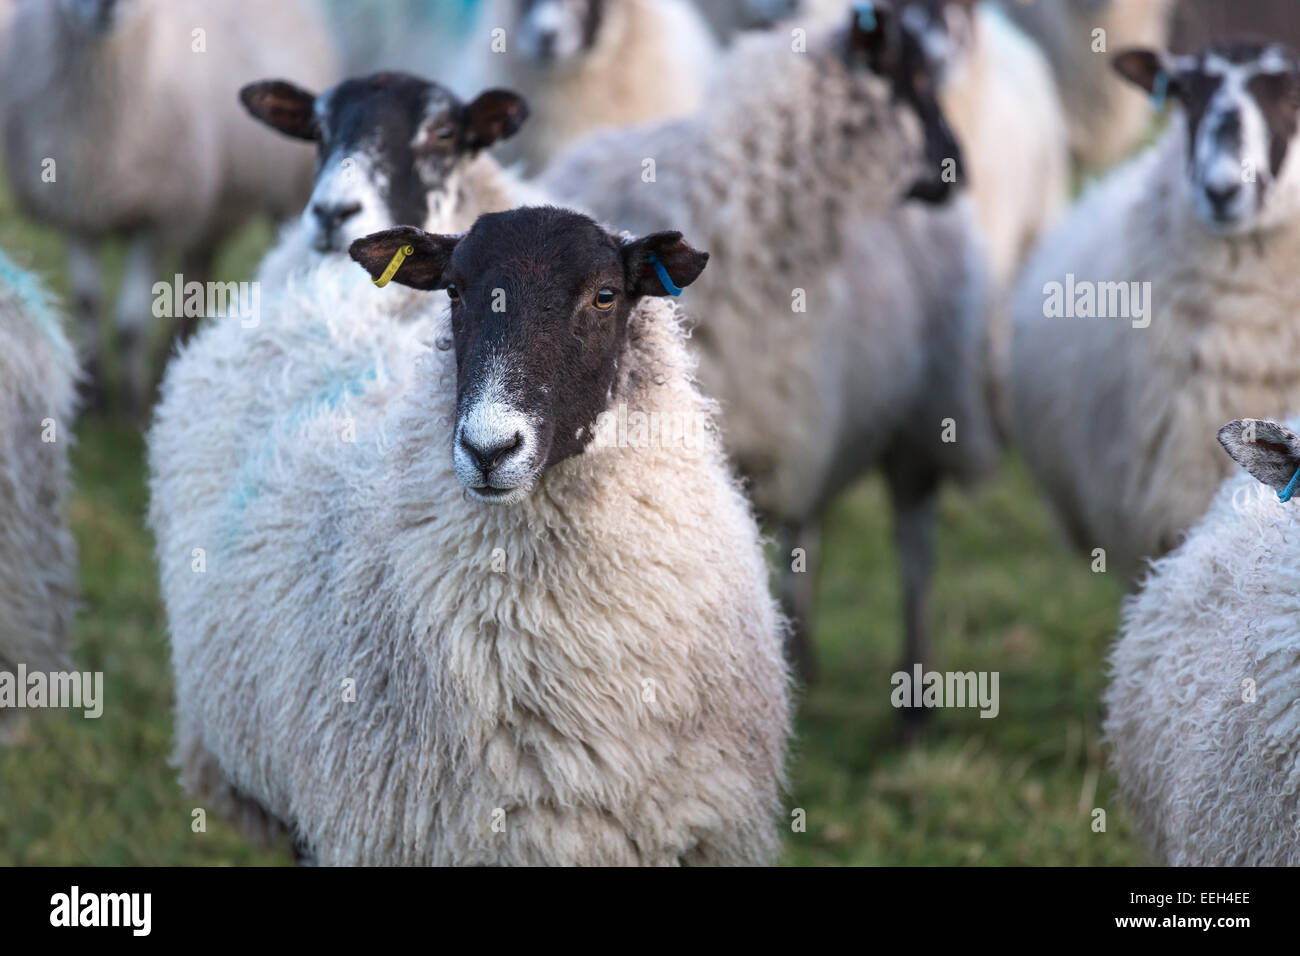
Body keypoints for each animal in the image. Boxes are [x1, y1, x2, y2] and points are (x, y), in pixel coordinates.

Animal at [0, 0, 337, 411]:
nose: (107, 8)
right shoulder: (77, 211)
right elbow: (87, 303)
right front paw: (92, 390)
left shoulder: (154, 217)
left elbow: (130, 324)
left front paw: (130, 403)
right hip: (214, 206)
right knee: (198, 270)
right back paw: (175, 353)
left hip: (285, 188)